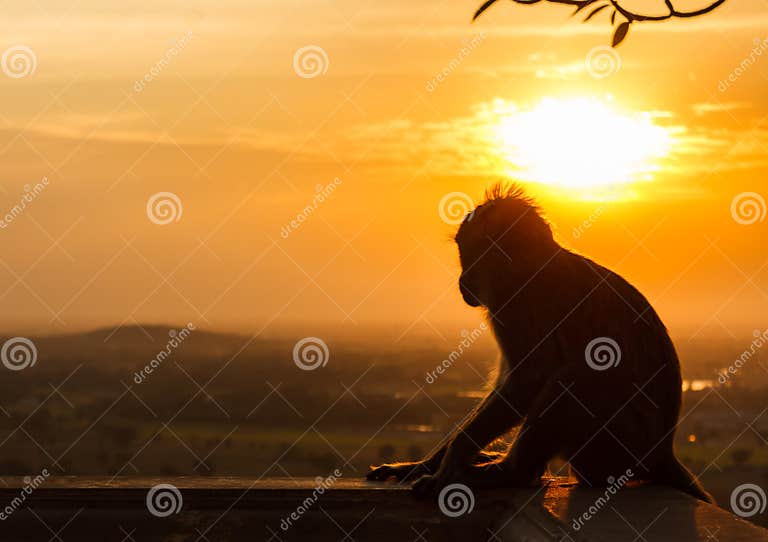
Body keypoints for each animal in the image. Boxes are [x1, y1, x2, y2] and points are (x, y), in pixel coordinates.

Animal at [367, 184, 713, 503]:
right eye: (462, 250)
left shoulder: (517, 304)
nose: (463, 280)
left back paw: (512, 473)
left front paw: (449, 466)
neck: (531, 264)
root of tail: (662, 453)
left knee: (577, 375)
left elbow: (530, 378)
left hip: (622, 442)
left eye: (473, 251)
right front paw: (428, 463)